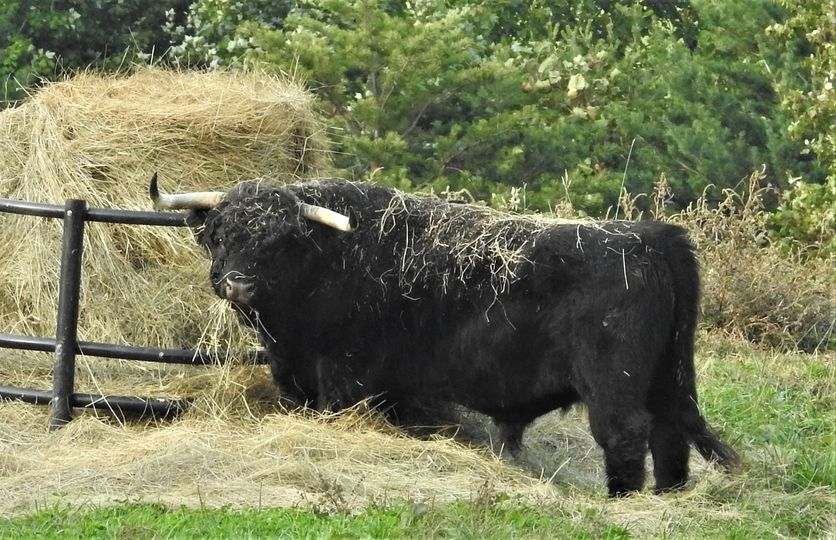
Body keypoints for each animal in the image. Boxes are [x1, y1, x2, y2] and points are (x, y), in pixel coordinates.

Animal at [150, 174, 738, 496]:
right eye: (220, 234)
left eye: (277, 241)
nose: (238, 283)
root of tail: (648, 237)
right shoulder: (293, 368)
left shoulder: (343, 369)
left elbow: (336, 410)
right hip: (664, 379)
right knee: (670, 434)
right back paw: (666, 496)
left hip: (614, 383)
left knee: (626, 434)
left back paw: (622, 500)